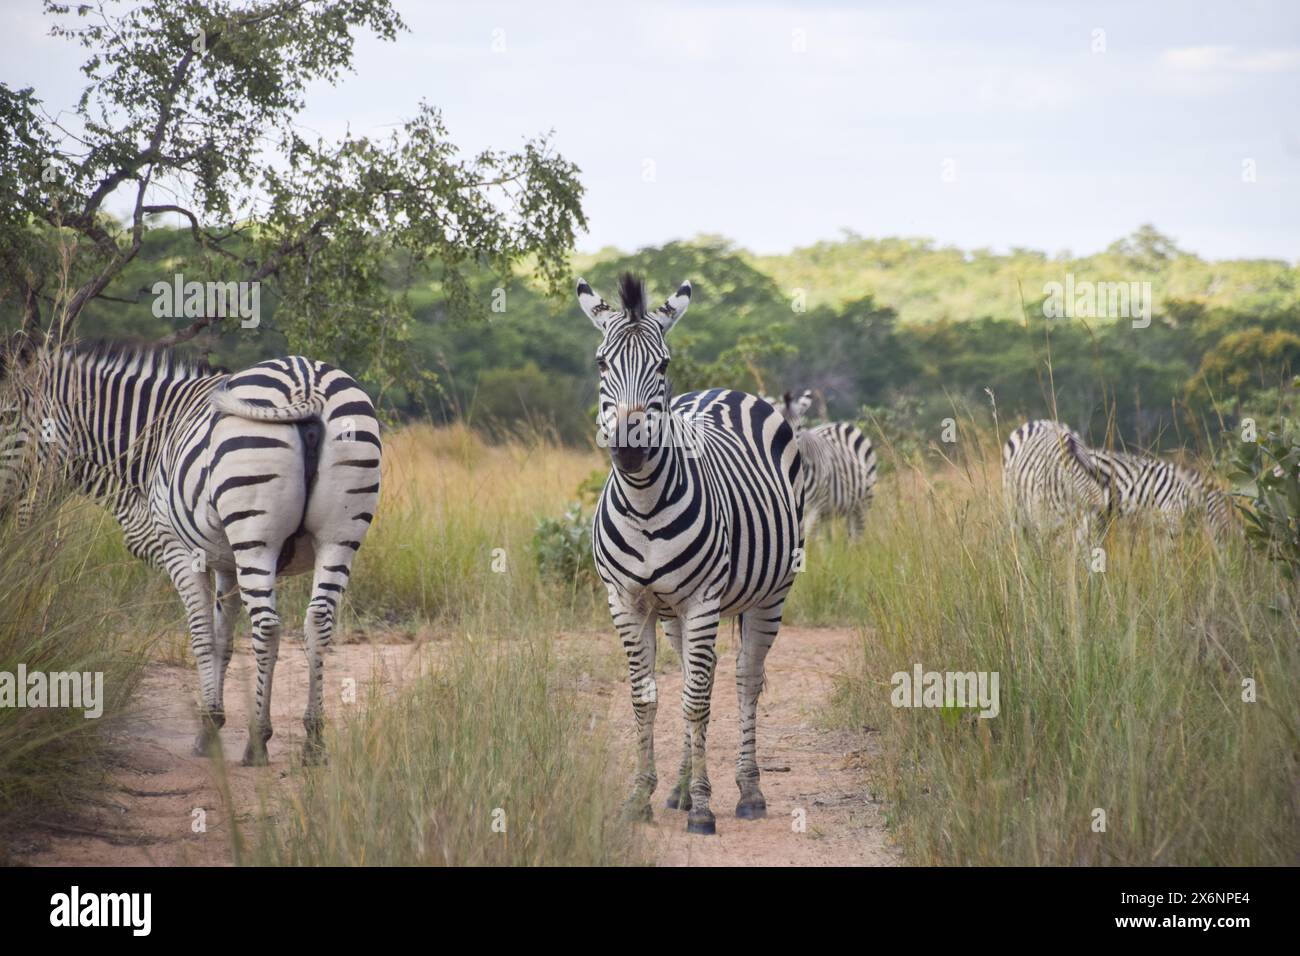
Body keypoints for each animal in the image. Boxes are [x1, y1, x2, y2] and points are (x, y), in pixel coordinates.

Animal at [0, 341, 381, 765]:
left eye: (7, 417)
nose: (11, 523)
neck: (152, 440)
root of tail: (305, 379)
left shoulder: (180, 551)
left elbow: (201, 636)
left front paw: (210, 727)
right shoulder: (227, 562)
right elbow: (223, 640)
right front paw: (212, 721)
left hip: (255, 536)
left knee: (268, 626)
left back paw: (257, 741)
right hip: (340, 535)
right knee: (318, 621)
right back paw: (314, 740)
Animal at [577, 273, 804, 835]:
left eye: (662, 365)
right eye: (601, 363)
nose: (629, 449)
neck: (642, 503)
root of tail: (725, 391)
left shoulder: (703, 599)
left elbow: (697, 701)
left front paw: (703, 808)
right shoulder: (626, 601)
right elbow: (647, 698)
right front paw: (641, 797)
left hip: (772, 594)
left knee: (745, 678)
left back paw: (748, 791)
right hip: (672, 611)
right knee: (695, 675)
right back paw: (678, 790)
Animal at [780, 388, 878, 538]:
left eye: (799, 427)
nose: (789, 453)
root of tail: (836, 424)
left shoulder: (815, 508)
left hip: (861, 504)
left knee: (855, 537)